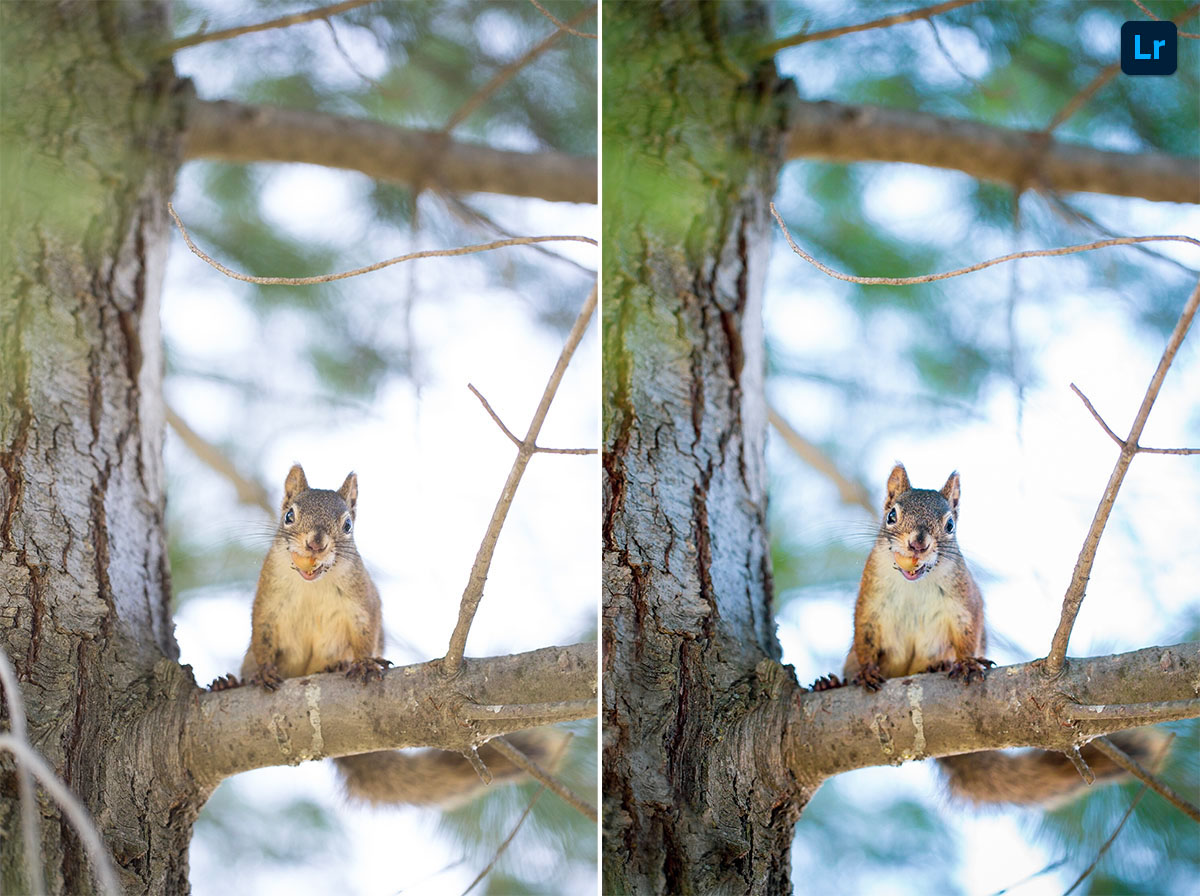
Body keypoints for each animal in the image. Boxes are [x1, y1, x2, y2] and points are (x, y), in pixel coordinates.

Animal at [210, 463, 566, 806]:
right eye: (289, 515)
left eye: (348, 525)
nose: (315, 542)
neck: (313, 582)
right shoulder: (266, 604)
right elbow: (262, 638)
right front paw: (264, 671)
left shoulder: (364, 604)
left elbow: (366, 634)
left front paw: (364, 663)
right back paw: (229, 682)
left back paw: (336, 666)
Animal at [813, 462, 1165, 805]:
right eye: (891, 515)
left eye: (950, 525)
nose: (918, 542)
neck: (915, 581)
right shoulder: (869, 604)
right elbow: (864, 638)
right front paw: (867, 671)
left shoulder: (965, 604)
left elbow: (967, 634)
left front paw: (966, 663)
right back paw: (831, 683)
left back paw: (939, 665)